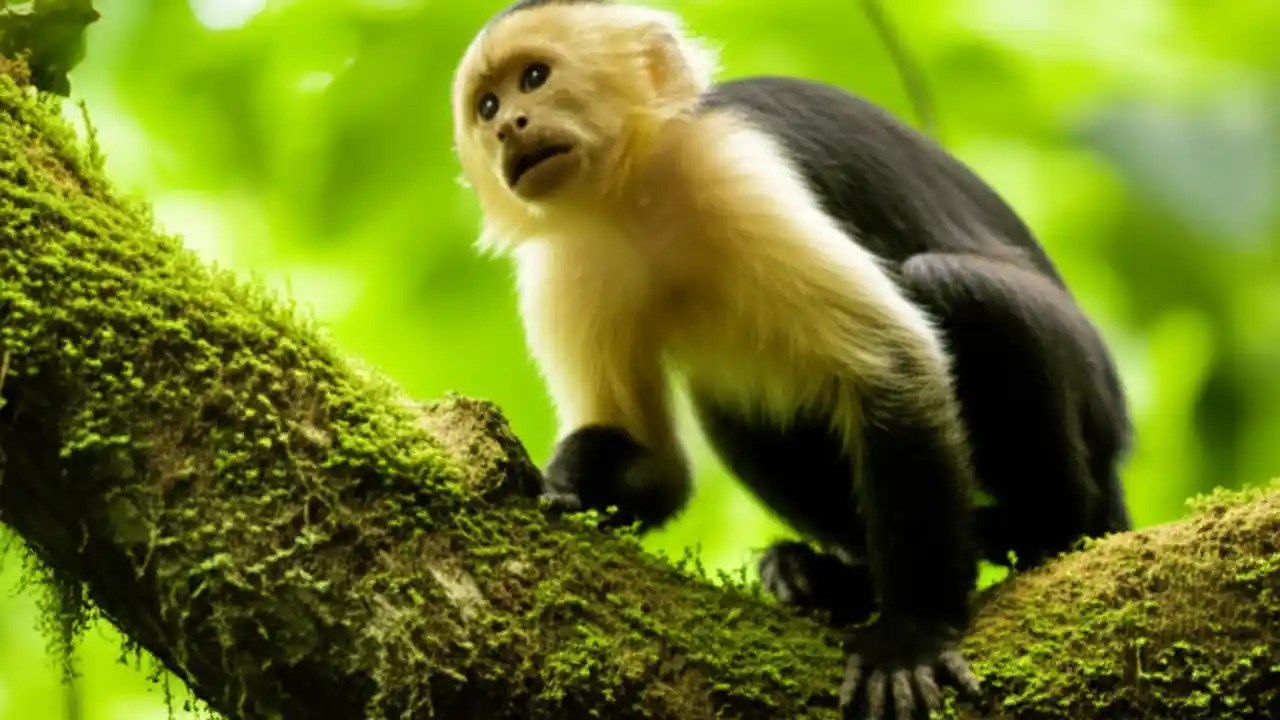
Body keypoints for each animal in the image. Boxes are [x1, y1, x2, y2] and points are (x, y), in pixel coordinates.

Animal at [449, 1, 1133, 718]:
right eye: (487, 105)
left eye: (534, 77)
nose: (508, 126)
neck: (637, 194)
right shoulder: (568, 262)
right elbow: (660, 469)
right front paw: (568, 482)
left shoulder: (733, 168)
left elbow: (895, 368)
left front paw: (912, 636)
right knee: (729, 396)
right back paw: (835, 578)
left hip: (1092, 392)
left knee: (953, 288)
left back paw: (1042, 529)